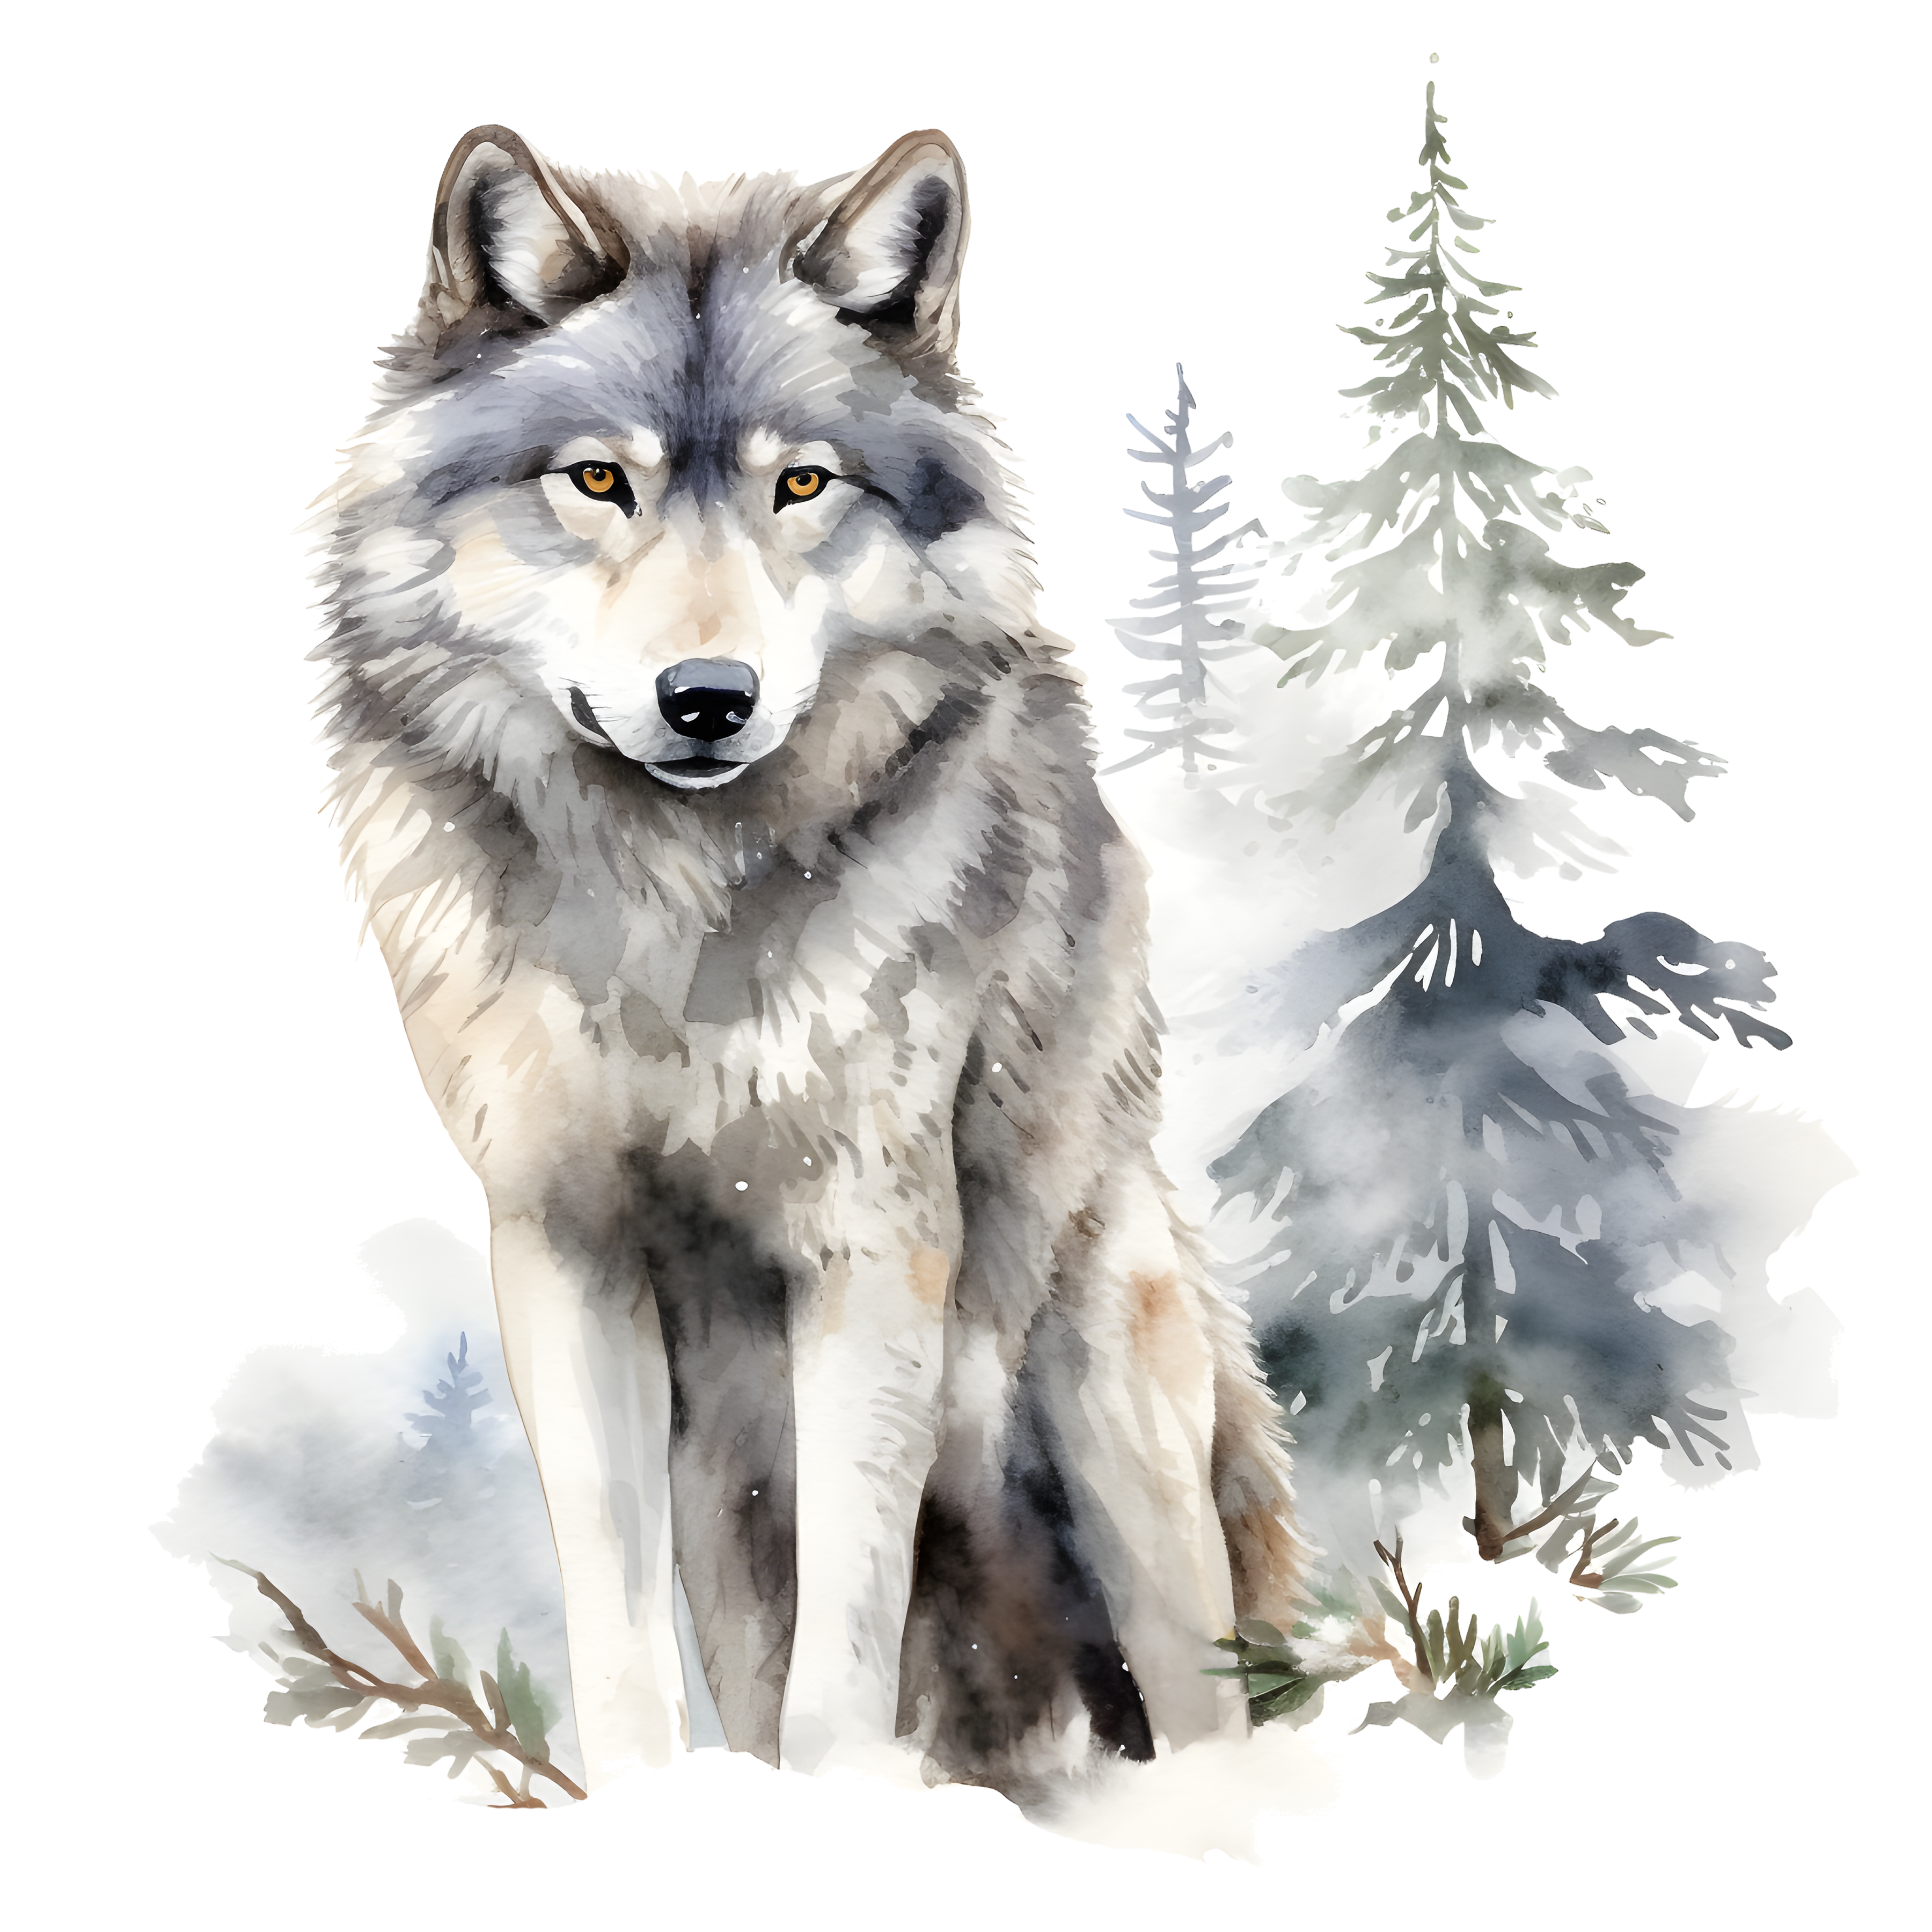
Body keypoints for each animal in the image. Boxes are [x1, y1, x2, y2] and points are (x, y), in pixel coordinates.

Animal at [312, 123, 1303, 1856]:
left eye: (801, 483)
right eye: (599, 480)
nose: (708, 698)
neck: (674, 918)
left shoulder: (874, 1245)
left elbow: (850, 1638)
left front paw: (847, 1830)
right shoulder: (561, 1249)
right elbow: (622, 1633)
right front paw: (646, 1831)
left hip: (1114, 1417)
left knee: (1197, 1699)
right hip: (733, 1491)